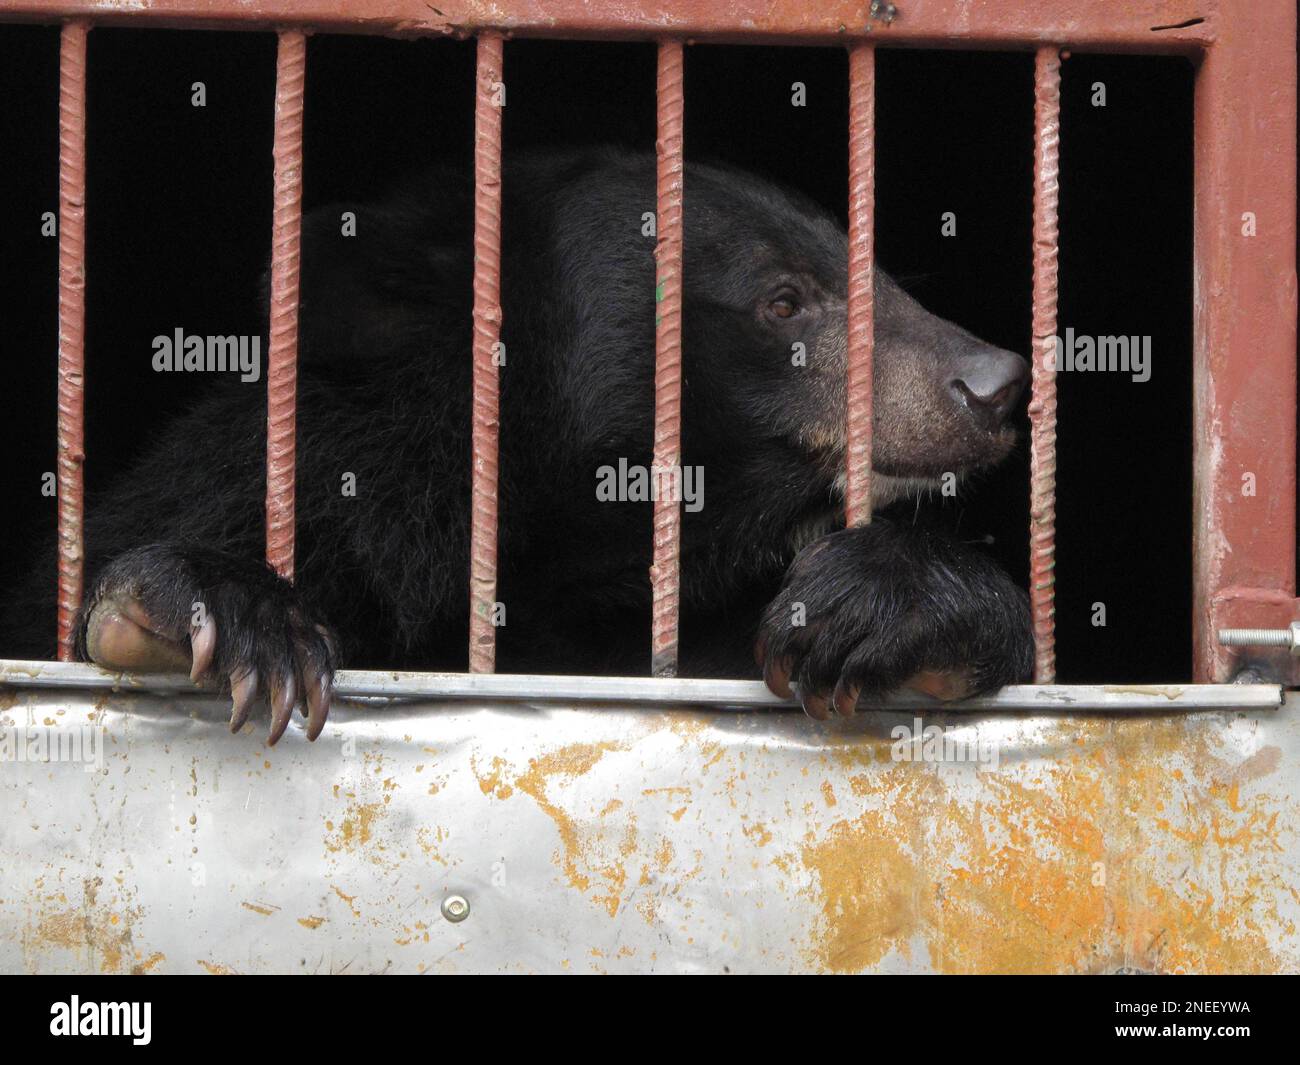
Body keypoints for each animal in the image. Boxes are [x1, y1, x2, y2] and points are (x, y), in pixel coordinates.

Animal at [7, 146, 1034, 743]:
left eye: (875, 267)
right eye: (782, 301)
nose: (996, 383)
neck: (572, 559)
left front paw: (871, 609)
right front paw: (234, 616)